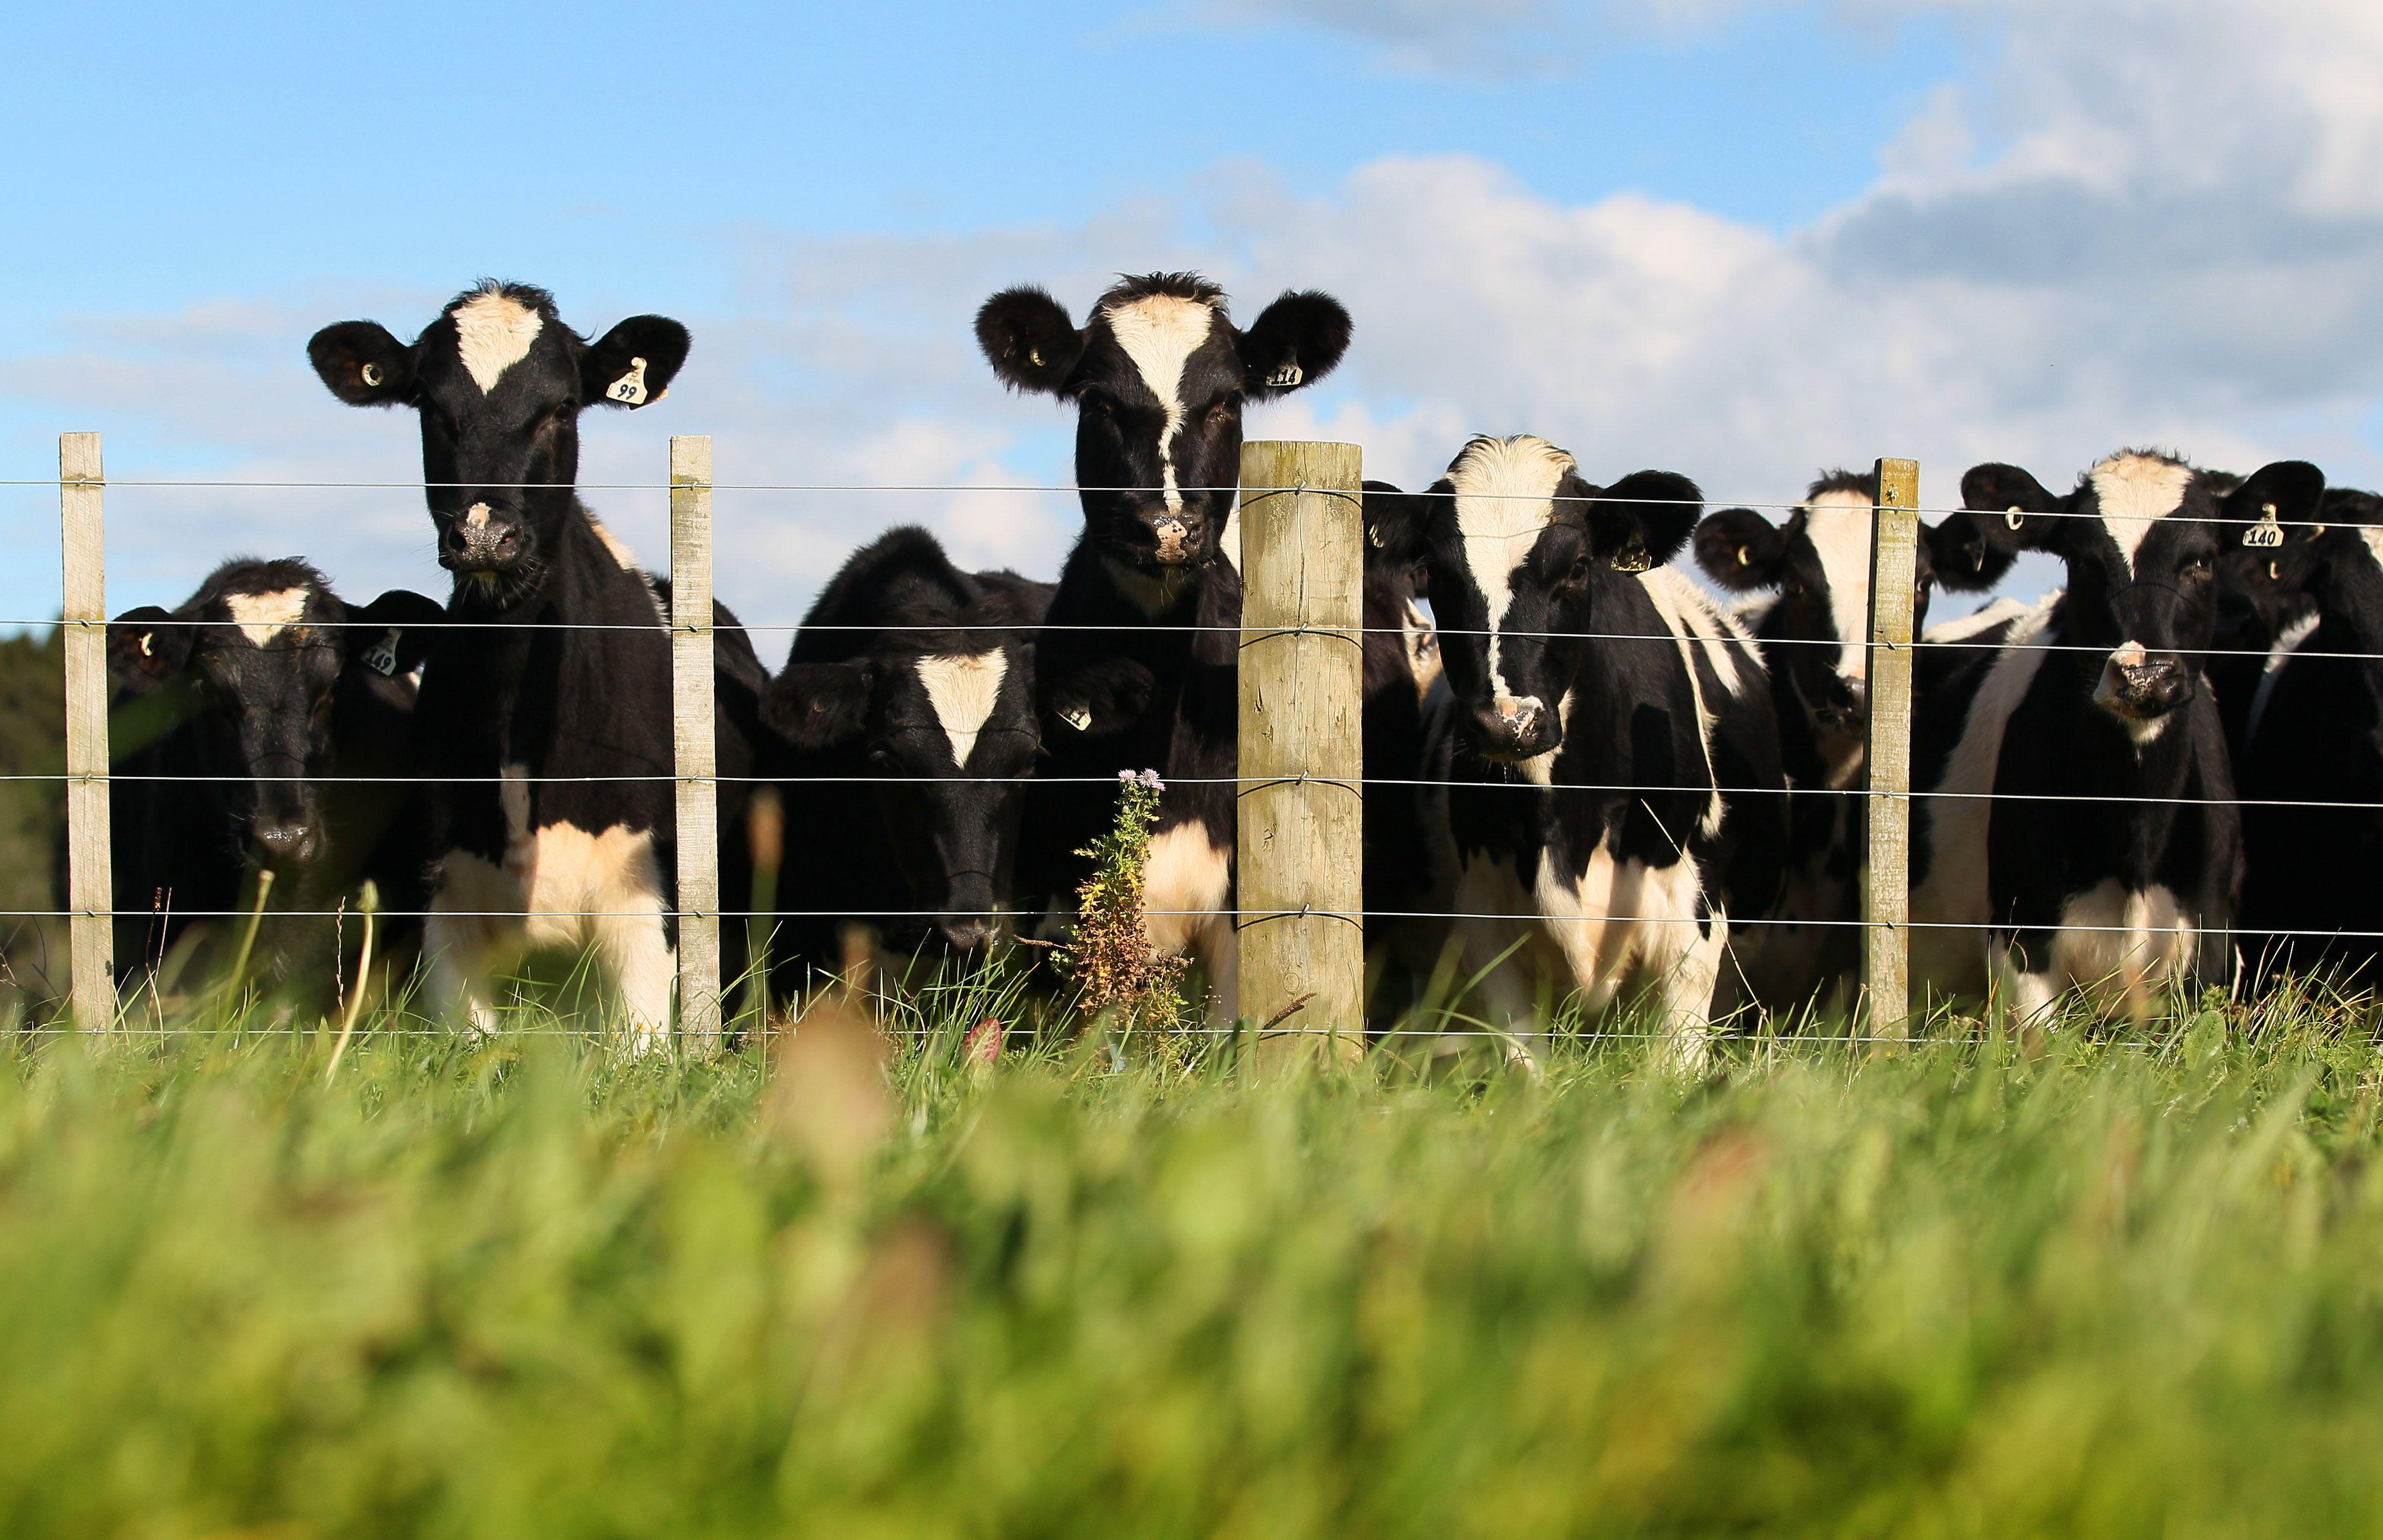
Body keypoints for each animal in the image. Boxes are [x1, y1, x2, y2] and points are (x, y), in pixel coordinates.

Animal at [1366, 434, 1787, 1071]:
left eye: (1578, 567)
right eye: (1437, 572)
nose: (1506, 722)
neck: (1568, 820)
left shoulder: (1691, 923)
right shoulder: (1486, 922)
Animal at [1908, 449, 2325, 1023]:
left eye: (2202, 560)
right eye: (2083, 561)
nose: (2144, 675)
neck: (2134, 828)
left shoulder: (2210, 955)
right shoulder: (2021, 944)